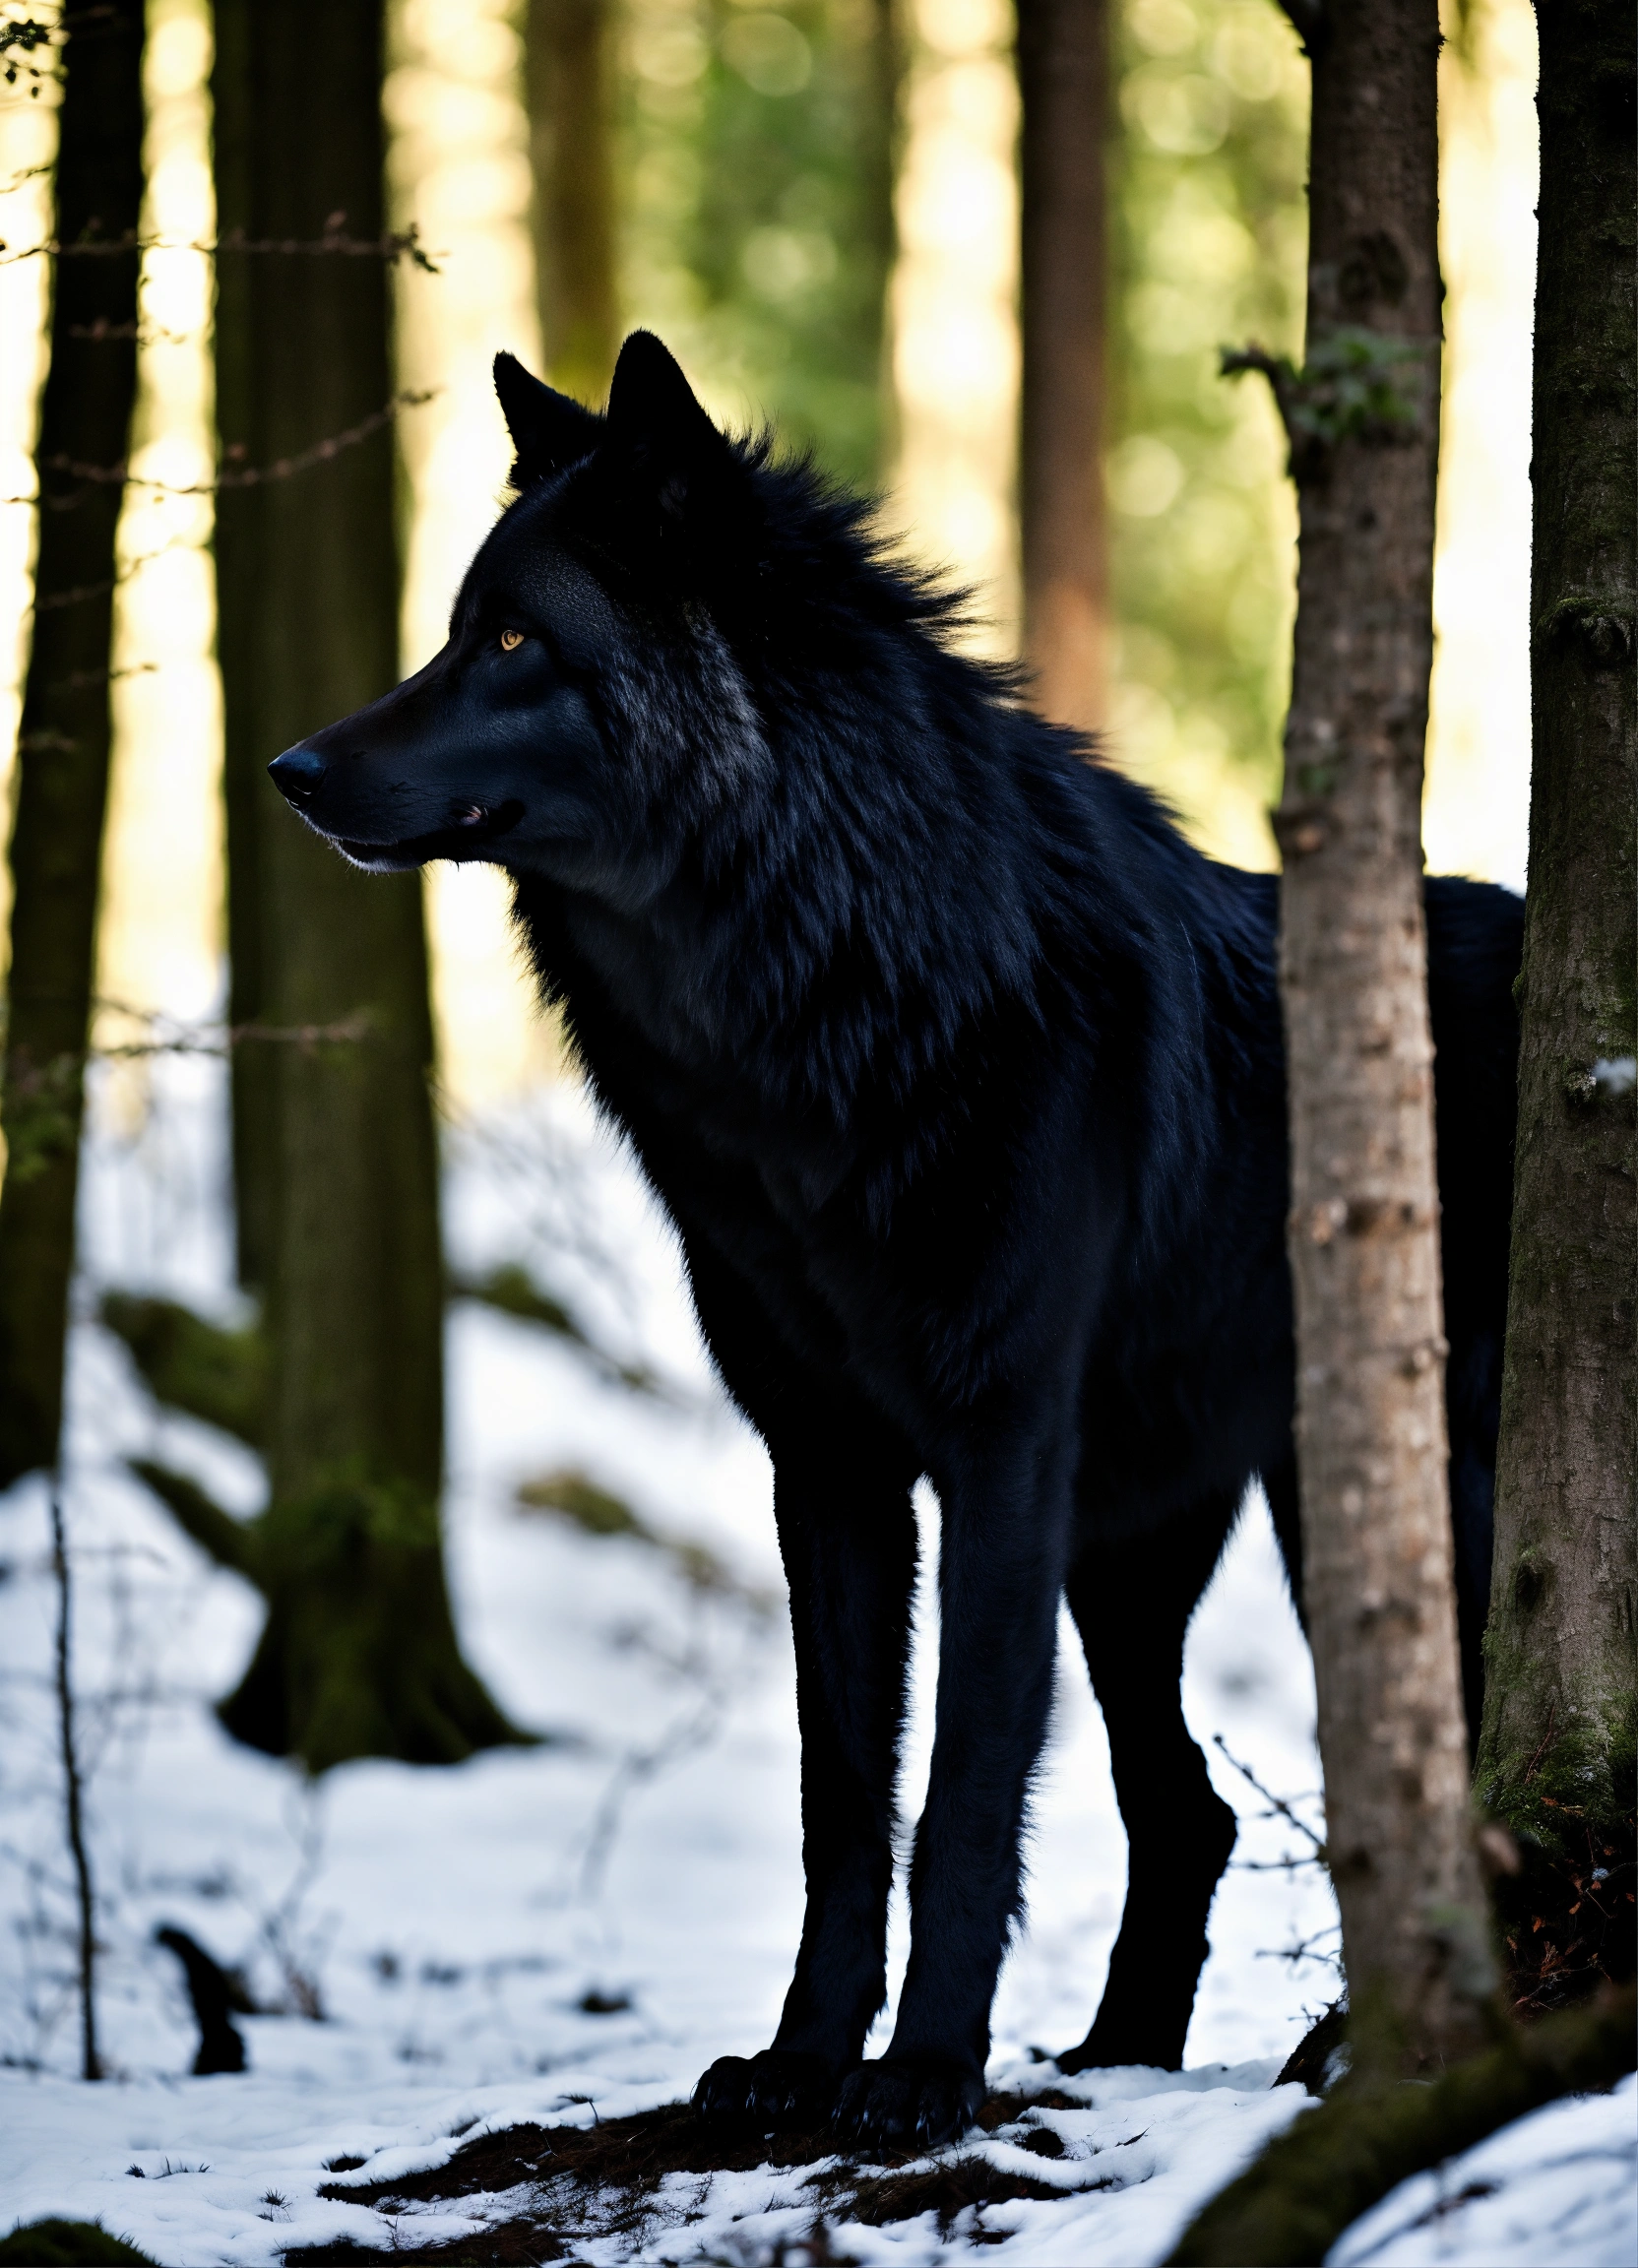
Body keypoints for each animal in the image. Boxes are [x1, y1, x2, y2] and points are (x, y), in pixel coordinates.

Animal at [269, 332, 1522, 2149]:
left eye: (510, 642)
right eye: (452, 628)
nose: (288, 770)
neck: (824, 994)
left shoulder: (997, 1450)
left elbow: (965, 1791)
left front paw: (923, 2071)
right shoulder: (833, 1469)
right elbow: (843, 1797)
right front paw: (799, 2063)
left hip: (1354, 1508)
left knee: (1428, 1767)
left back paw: (1343, 2043)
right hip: (1133, 1547)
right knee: (1191, 1806)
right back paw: (1120, 2053)